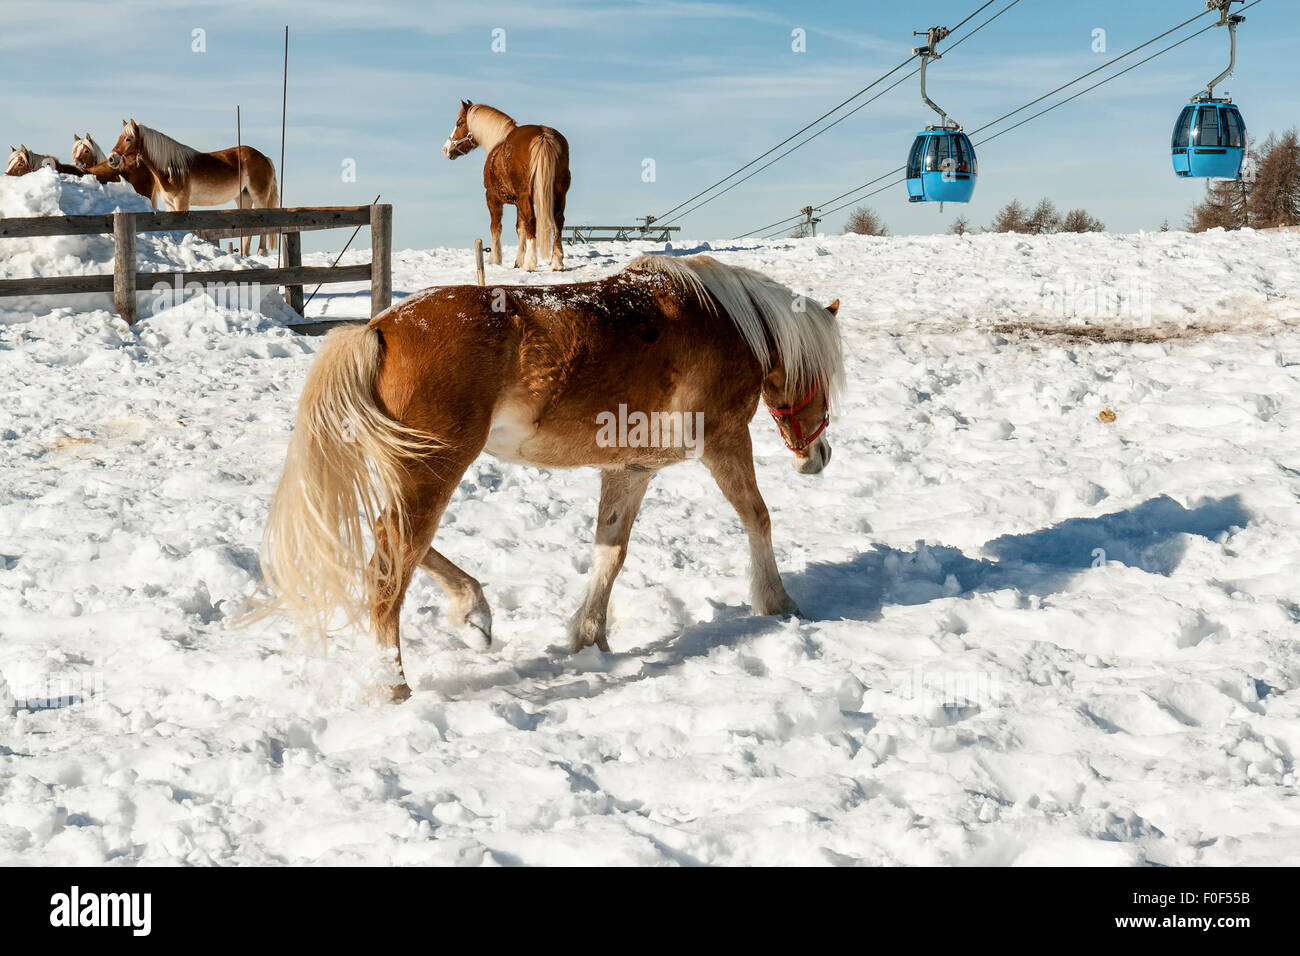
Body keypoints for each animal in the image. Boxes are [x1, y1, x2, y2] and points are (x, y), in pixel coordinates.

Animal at [106, 119, 278, 255]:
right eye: (119, 138)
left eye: (128, 139)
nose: (111, 159)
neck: (171, 168)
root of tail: (265, 158)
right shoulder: (169, 205)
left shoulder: (181, 203)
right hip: (243, 197)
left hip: (259, 196)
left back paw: (261, 252)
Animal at [256, 254, 844, 701]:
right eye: (821, 375)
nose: (819, 456)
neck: (725, 323)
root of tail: (379, 329)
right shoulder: (724, 441)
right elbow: (757, 517)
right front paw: (777, 601)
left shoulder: (631, 469)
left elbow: (610, 552)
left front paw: (588, 636)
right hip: (435, 467)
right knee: (390, 559)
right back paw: (395, 686)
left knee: (392, 539)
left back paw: (474, 613)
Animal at [441, 100, 571, 273]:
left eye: (459, 123)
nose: (446, 149)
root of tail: (543, 134)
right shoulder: (518, 202)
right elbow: (520, 228)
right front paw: (518, 261)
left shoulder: (492, 197)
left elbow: (496, 227)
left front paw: (495, 260)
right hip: (559, 193)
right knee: (558, 221)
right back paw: (557, 263)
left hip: (526, 195)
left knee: (532, 222)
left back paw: (530, 264)